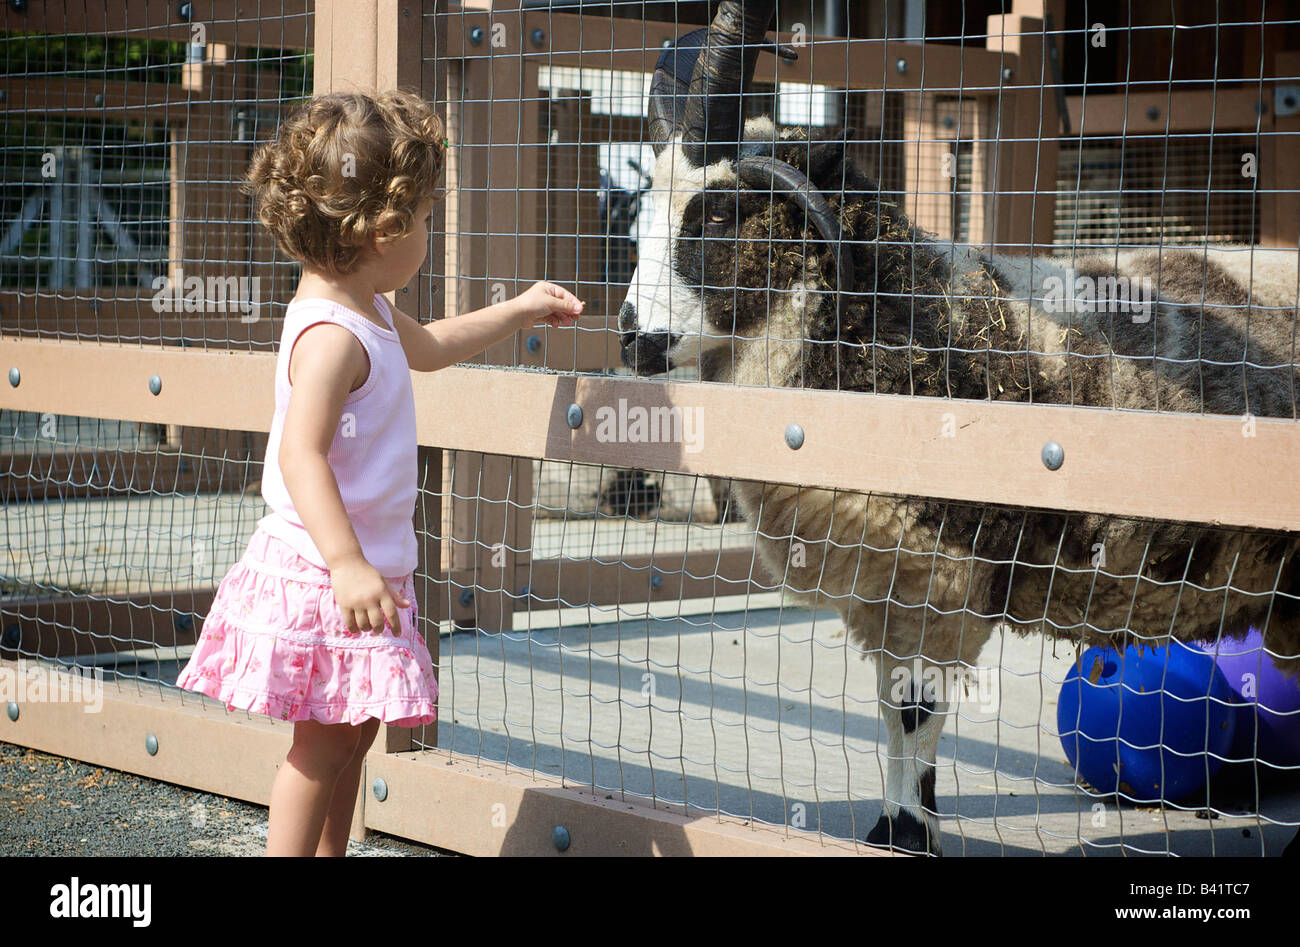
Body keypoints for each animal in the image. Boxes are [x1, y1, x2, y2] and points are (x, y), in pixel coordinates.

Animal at [616, 0, 1300, 855]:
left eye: (714, 213)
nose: (630, 337)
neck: (908, 308)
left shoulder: (945, 579)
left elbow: (916, 709)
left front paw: (905, 830)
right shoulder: (888, 583)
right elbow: (889, 709)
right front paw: (900, 824)